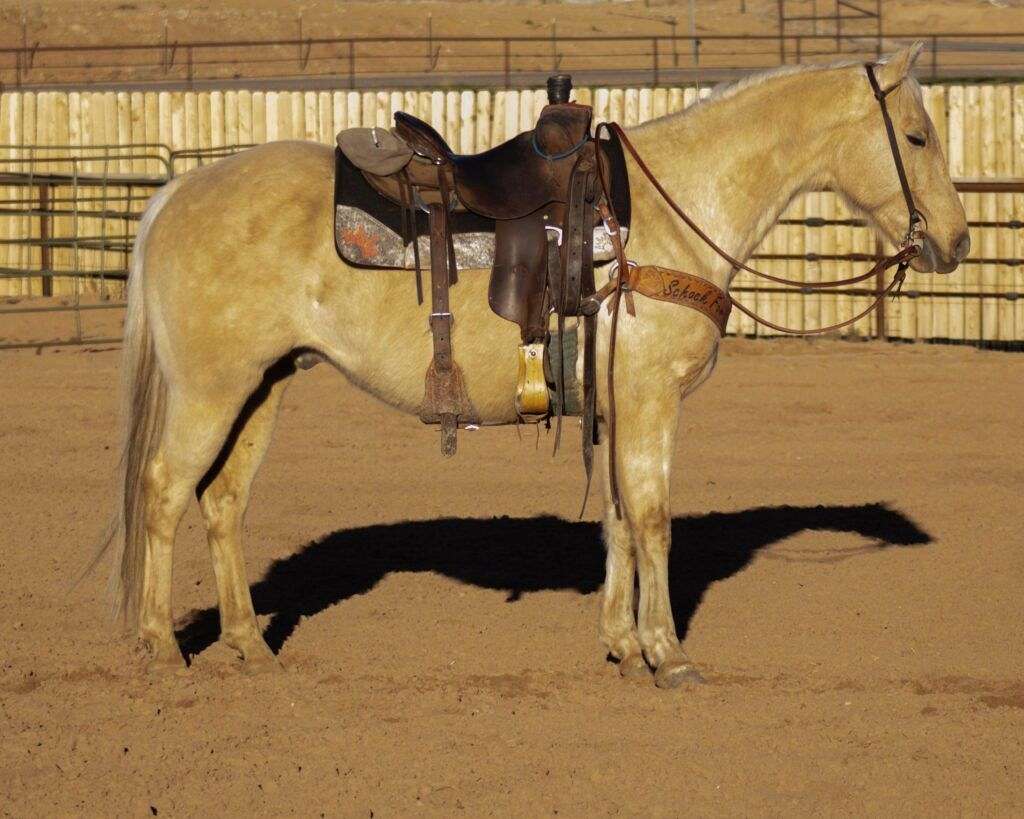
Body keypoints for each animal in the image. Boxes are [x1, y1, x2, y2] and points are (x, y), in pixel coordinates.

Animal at [105, 42, 968, 687]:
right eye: (917, 137)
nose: (956, 240)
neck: (665, 213)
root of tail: (177, 191)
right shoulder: (651, 399)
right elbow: (652, 519)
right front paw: (669, 654)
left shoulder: (615, 405)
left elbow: (617, 520)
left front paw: (623, 644)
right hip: (211, 391)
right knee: (164, 491)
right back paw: (161, 646)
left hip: (264, 383)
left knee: (222, 502)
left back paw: (249, 644)